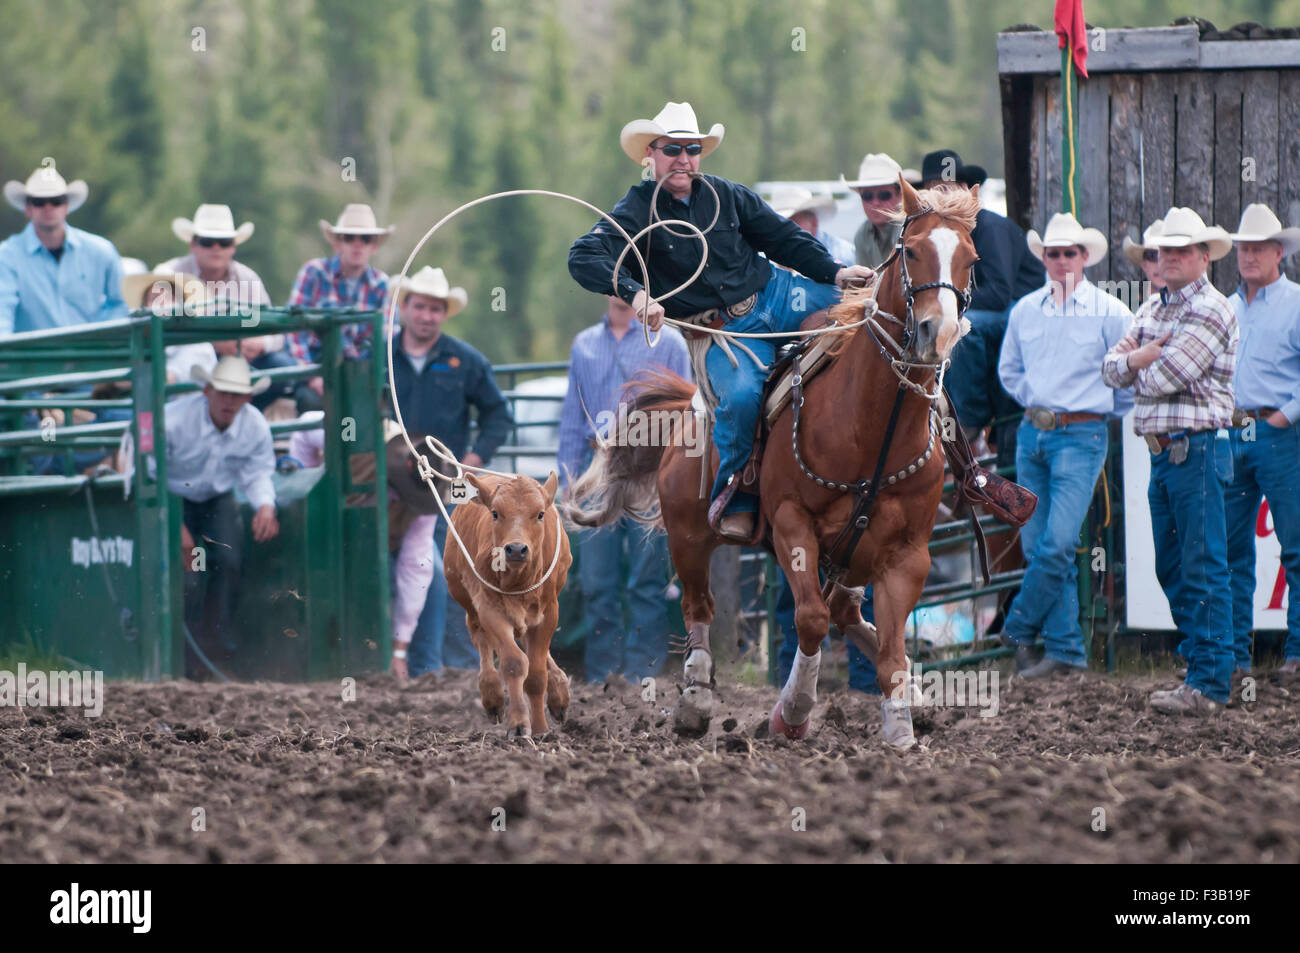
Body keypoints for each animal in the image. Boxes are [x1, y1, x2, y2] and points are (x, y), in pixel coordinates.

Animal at [444, 470, 573, 738]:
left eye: (540, 514)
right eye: (495, 513)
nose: (515, 549)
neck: (518, 581)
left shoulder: (549, 611)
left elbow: (536, 674)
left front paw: (541, 729)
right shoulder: (490, 609)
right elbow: (514, 662)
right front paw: (519, 725)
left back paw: (559, 694)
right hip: (465, 598)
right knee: (481, 638)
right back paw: (492, 695)